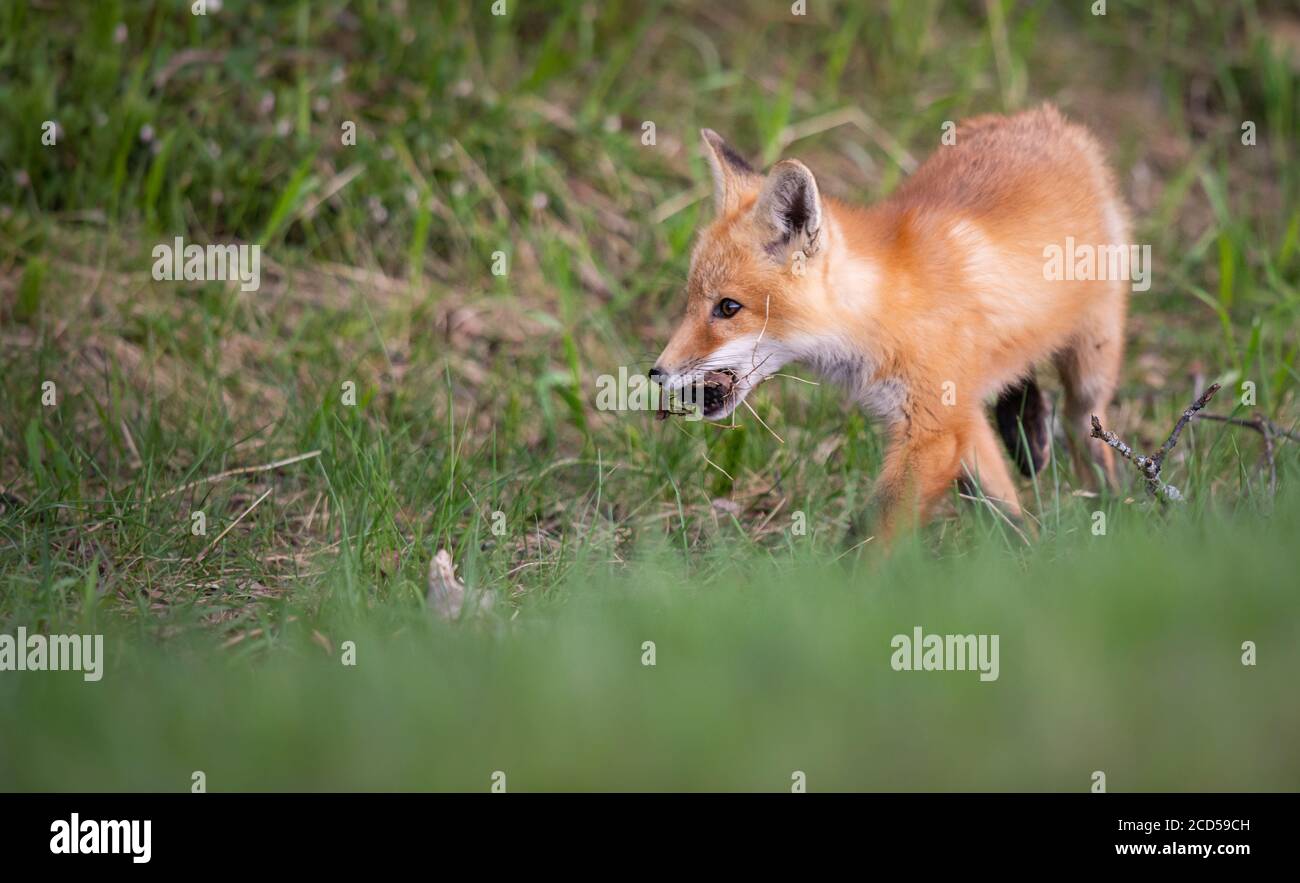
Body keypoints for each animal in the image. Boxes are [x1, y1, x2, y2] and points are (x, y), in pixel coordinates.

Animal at [651, 105, 1129, 545]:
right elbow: (1004, 508)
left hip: (1093, 357)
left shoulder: (934, 431)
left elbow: (871, 538)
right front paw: (1029, 553)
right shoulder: (953, 422)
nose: (657, 372)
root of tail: (1044, 116)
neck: (883, 310)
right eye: (691, 302)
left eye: (728, 308)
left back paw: (1112, 510)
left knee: (1083, 426)